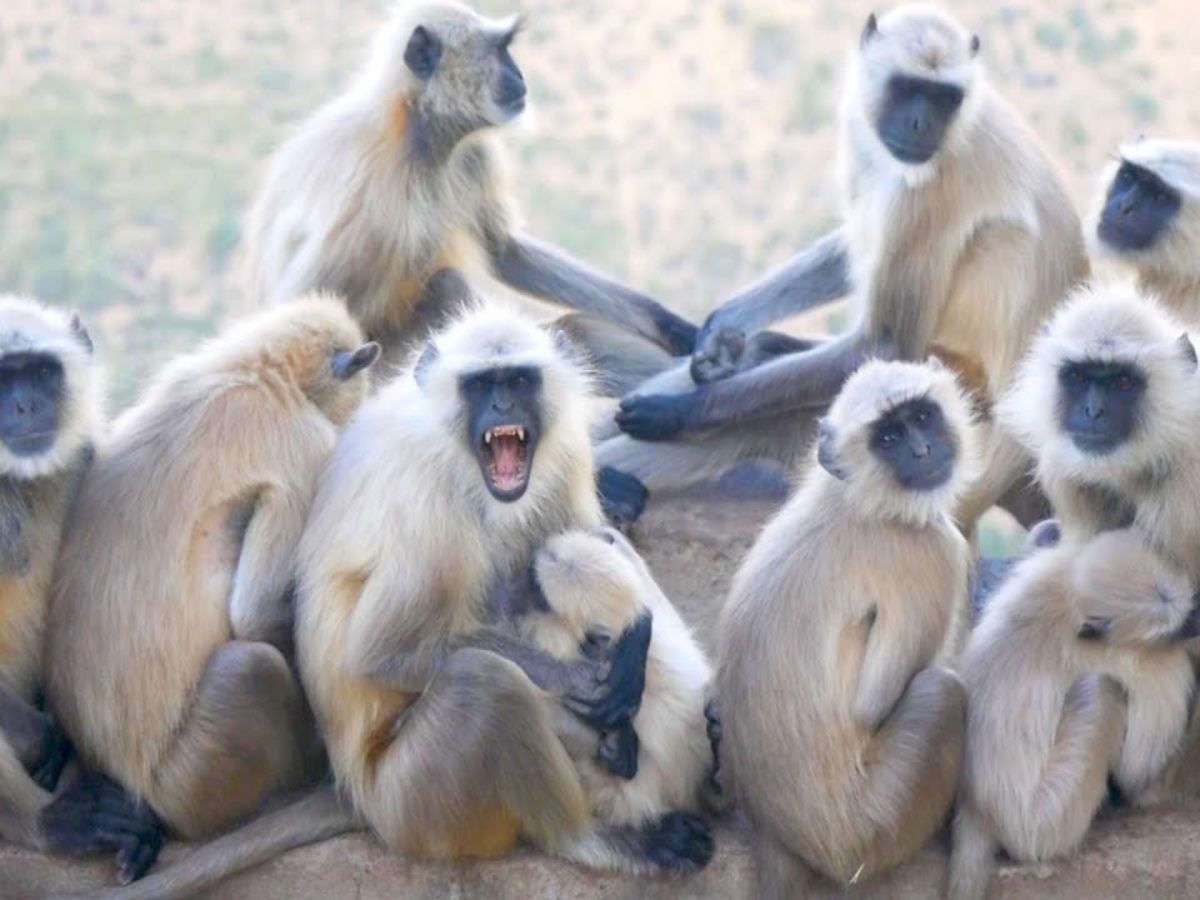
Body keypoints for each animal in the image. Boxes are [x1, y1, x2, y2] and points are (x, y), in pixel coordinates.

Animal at [245, 1, 696, 388]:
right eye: (500, 51)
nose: (520, 76)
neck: (420, 134)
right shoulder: (368, 191)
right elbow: (298, 307)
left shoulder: (472, 154)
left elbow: (503, 251)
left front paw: (670, 325)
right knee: (446, 286)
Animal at [611, 5, 1086, 531]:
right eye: (908, 88)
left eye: (944, 98)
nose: (921, 124)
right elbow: (854, 242)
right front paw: (723, 325)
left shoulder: (934, 191)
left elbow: (884, 342)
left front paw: (675, 412)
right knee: (764, 352)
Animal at [716, 357, 976, 894]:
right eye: (888, 439)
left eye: (922, 417)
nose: (922, 450)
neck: (854, 497)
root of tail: (777, 833)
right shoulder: (933, 550)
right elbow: (873, 705)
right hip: (868, 828)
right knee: (941, 691)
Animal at [947, 528, 1199, 900]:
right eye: (1174, 628)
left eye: (1191, 607)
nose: (1197, 623)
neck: (1069, 598)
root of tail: (977, 811)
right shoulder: (1146, 659)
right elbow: (1137, 772)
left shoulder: (1046, 567)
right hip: (1045, 821)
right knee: (1103, 690)